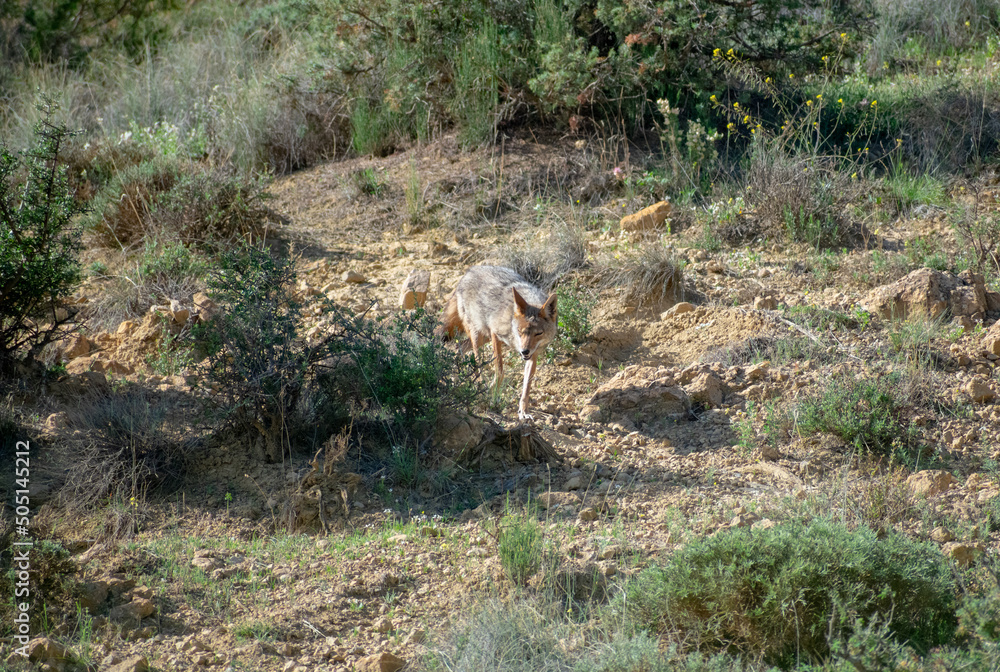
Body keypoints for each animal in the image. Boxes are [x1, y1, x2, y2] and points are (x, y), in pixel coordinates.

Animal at [437, 266, 557, 421]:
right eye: (520, 331)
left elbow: (527, 386)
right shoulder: (495, 334)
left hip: (483, 337)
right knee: (477, 364)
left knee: (458, 347)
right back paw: (477, 388)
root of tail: (469, 272)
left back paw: (455, 378)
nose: (524, 351)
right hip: (479, 336)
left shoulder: (533, 355)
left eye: (538, 333)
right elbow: (500, 370)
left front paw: (523, 411)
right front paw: (491, 395)